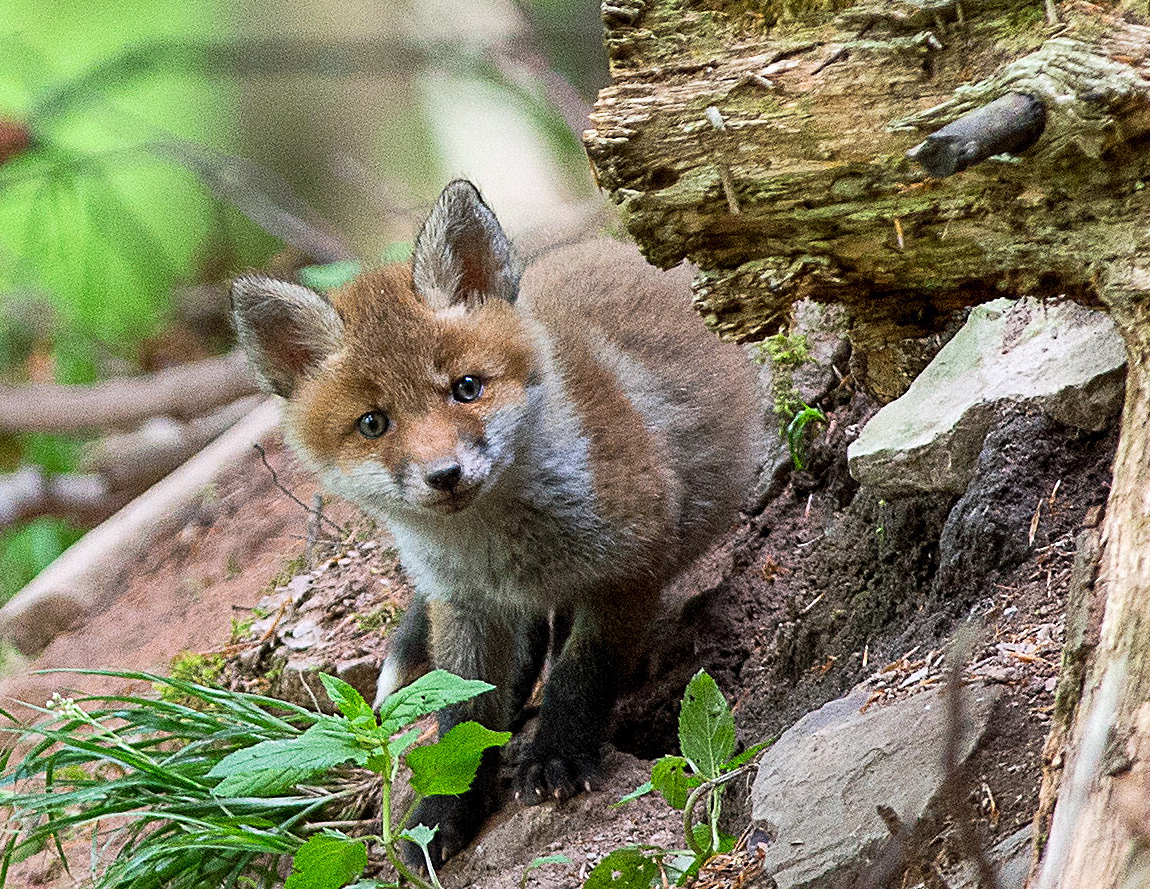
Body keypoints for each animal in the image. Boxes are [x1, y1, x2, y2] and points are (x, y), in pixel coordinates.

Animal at [231, 180, 763, 866]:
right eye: (373, 422)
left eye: (466, 387)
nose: (445, 475)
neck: (499, 547)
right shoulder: (464, 603)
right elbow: (463, 719)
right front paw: (445, 812)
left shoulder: (625, 568)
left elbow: (579, 676)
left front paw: (558, 756)